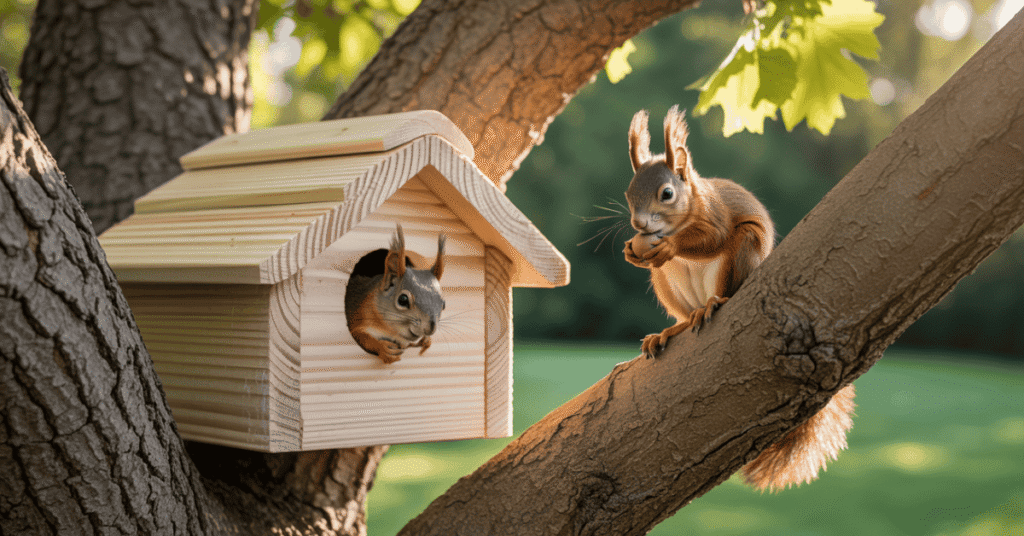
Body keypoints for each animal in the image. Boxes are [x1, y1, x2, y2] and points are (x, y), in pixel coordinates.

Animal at [345, 224, 446, 364]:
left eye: (444, 304)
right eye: (402, 300)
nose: (430, 329)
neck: (392, 331)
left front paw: (426, 341)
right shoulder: (359, 317)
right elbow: (362, 337)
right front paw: (384, 348)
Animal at [622, 105, 856, 492]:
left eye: (667, 193)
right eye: (628, 194)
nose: (639, 226)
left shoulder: (715, 217)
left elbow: (711, 239)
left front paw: (670, 246)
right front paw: (630, 250)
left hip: (742, 251)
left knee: (726, 290)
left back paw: (712, 305)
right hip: (666, 283)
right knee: (682, 317)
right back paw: (672, 329)